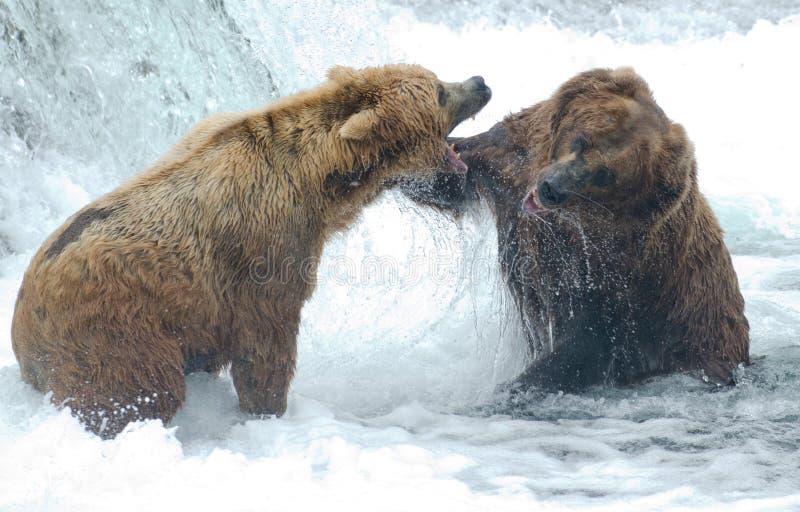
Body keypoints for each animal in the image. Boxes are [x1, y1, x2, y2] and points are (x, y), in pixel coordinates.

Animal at [11, 64, 492, 437]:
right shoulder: (263, 250)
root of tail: (23, 327)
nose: (481, 81)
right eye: (440, 91)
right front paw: (268, 409)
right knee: (140, 391)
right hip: (115, 329)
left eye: (435, 76)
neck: (319, 182)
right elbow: (265, 342)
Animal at [402, 67, 749, 391]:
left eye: (605, 174)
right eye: (582, 140)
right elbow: (448, 178)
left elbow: (583, 345)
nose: (552, 188)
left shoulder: (614, 278)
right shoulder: (504, 168)